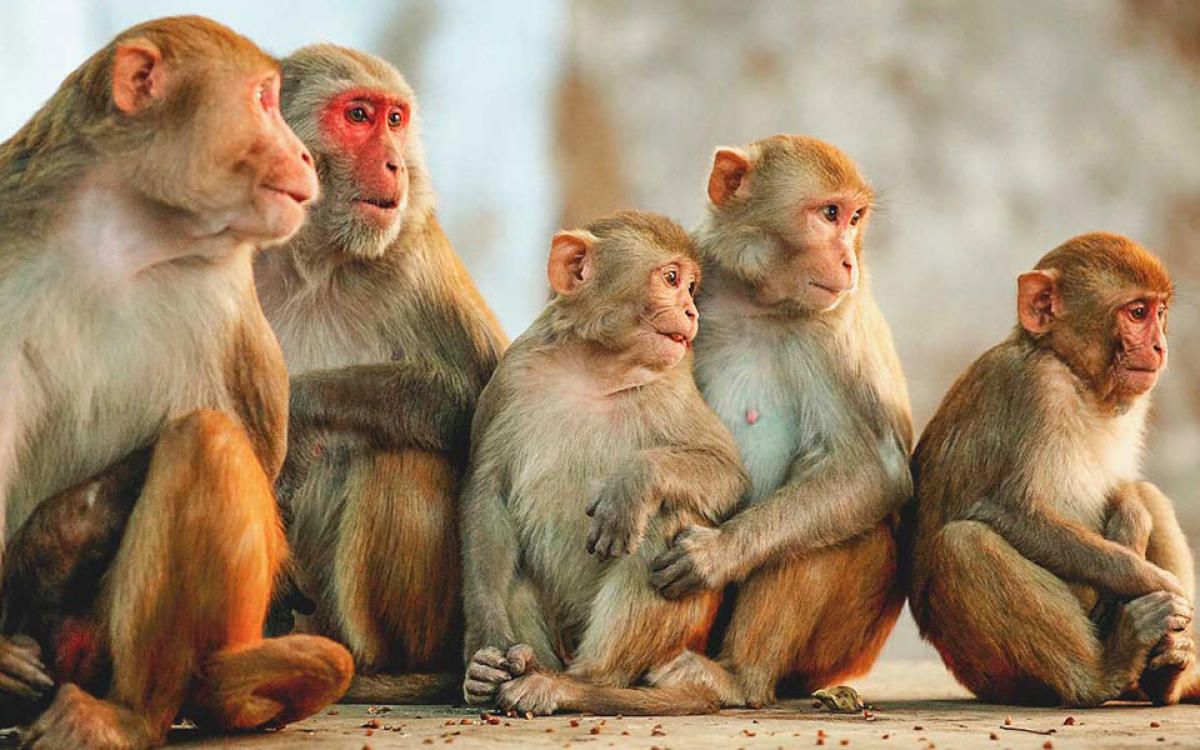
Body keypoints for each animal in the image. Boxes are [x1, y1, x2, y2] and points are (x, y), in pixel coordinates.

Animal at [0, 16, 354, 748]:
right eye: (263, 100)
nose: (305, 158)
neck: (125, 235)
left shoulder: (226, 293)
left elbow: (254, 444)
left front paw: (50, 541)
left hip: (105, 647)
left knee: (205, 441)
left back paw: (129, 714)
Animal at [252, 44, 507, 704]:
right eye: (358, 116)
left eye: (395, 119)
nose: (395, 164)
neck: (312, 258)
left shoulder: (413, 252)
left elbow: (481, 399)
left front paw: (298, 412)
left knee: (399, 456)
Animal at [459, 210, 749, 716]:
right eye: (671, 279)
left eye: (691, 286)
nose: (692, 312)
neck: (595, 370)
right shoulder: (512, 375)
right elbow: (488, 493)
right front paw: (485, 652)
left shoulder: (674, 384)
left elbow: (727, 472)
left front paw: (633, 484)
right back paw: (521, 669)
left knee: (668, 517)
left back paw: (574, 684)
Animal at [646, 135, 913, 708]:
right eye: (830, 213)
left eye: (855, 218)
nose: (848, 261)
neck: (757, 301)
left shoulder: (834, 329)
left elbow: (875, 470)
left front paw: (717, 553)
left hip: (842, 651)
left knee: (834, 520)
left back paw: (738, 677)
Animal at [907, 232, 1200, 707]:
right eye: (1137, 313)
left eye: (1159, 313)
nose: (1159, 347)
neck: (1075, 375)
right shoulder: (1039, 388)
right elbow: (1012, 510)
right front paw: (1148, 578)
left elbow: (1127, 489)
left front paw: (1131, 520)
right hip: (994, 675)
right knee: (963, 543)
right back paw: (1107, 669)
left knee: (1153, 496)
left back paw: (1168, 674)